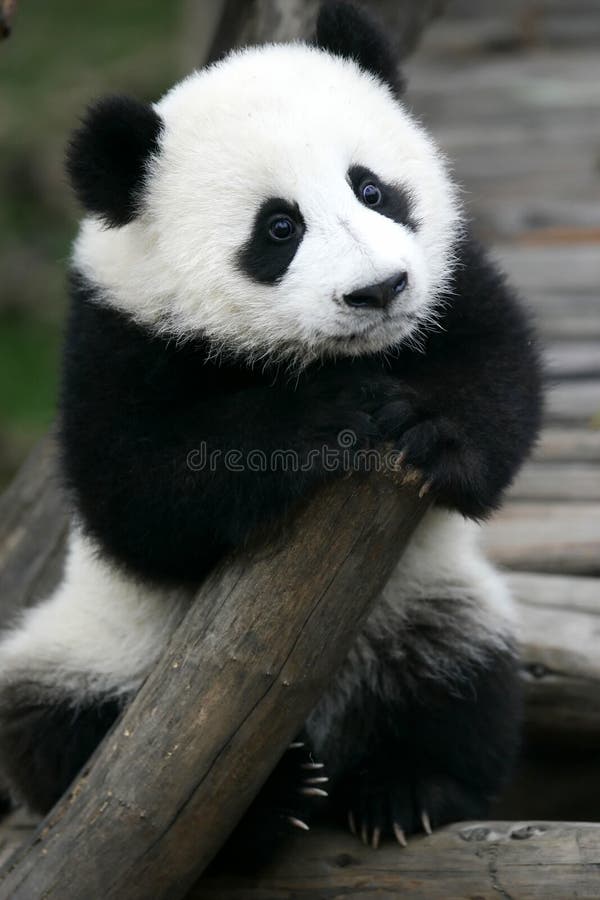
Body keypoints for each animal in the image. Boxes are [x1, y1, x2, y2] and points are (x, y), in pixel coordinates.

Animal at [0, 0, 541, 867]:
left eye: (372, 188)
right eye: (279, 227)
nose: (379, 290)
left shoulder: (449, 275)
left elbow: (499, 375)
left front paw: (427, 428)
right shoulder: (115, 335)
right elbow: (136, 498)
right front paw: (318, 422)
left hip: (430, 606)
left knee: (462, 687)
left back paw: (404, 790)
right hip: (94, 652)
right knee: (57, 728)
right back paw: (270, 801)